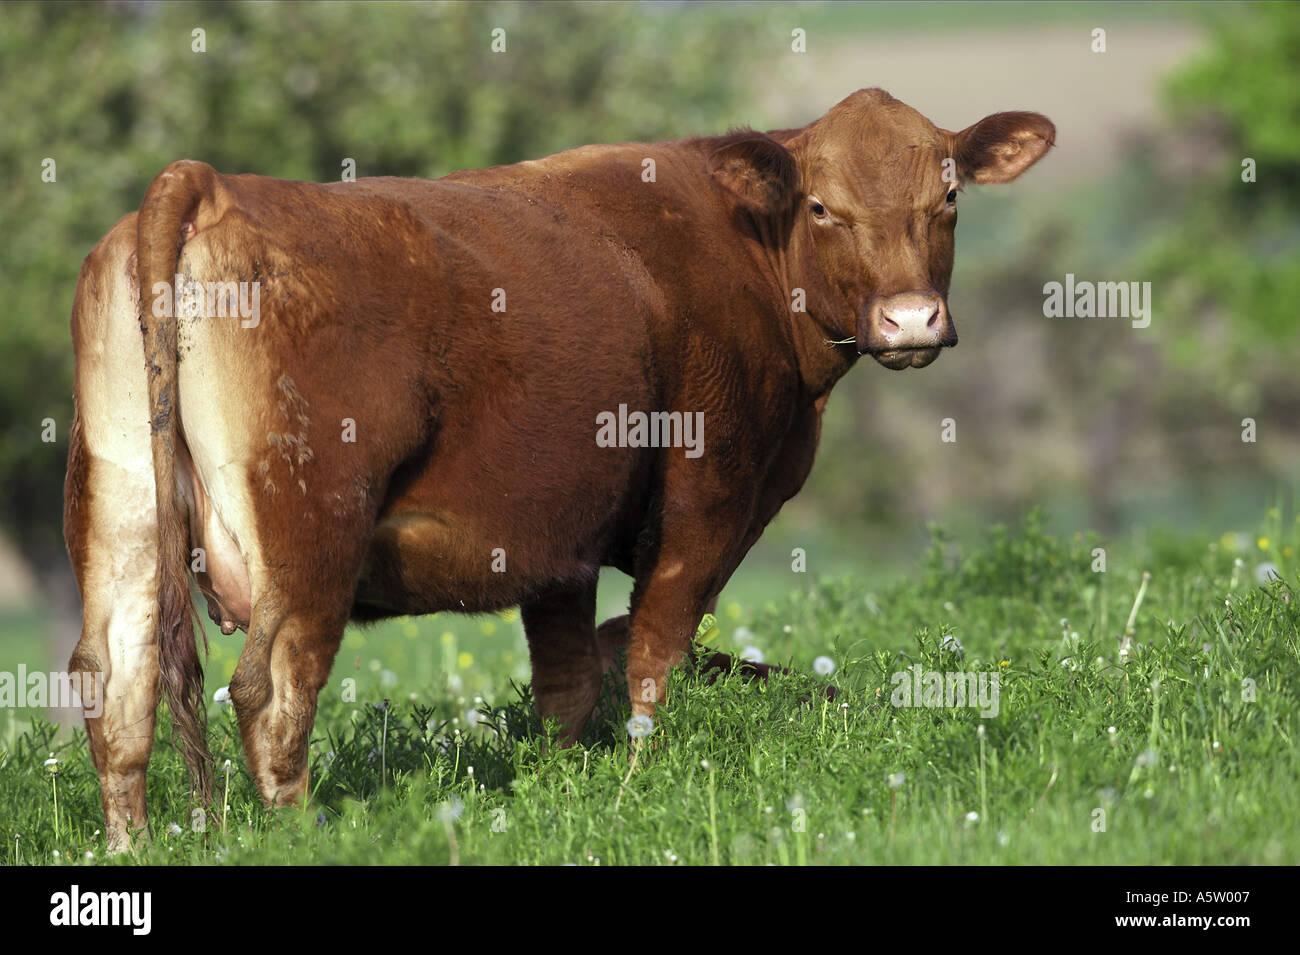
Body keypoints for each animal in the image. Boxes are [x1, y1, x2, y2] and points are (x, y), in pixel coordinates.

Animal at [63, 88, 1054, 850]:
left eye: (950, 196)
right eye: (822, 207)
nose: (911, 319)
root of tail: (211, 185)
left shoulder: (555, 541)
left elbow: (569, 682)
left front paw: (565, 789)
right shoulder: (707, 502)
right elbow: (653, 652)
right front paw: (641, 779)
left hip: (123, 513)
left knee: (119, 688)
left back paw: (132, 844)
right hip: (312, 534)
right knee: (271, 691)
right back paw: (306, 838)